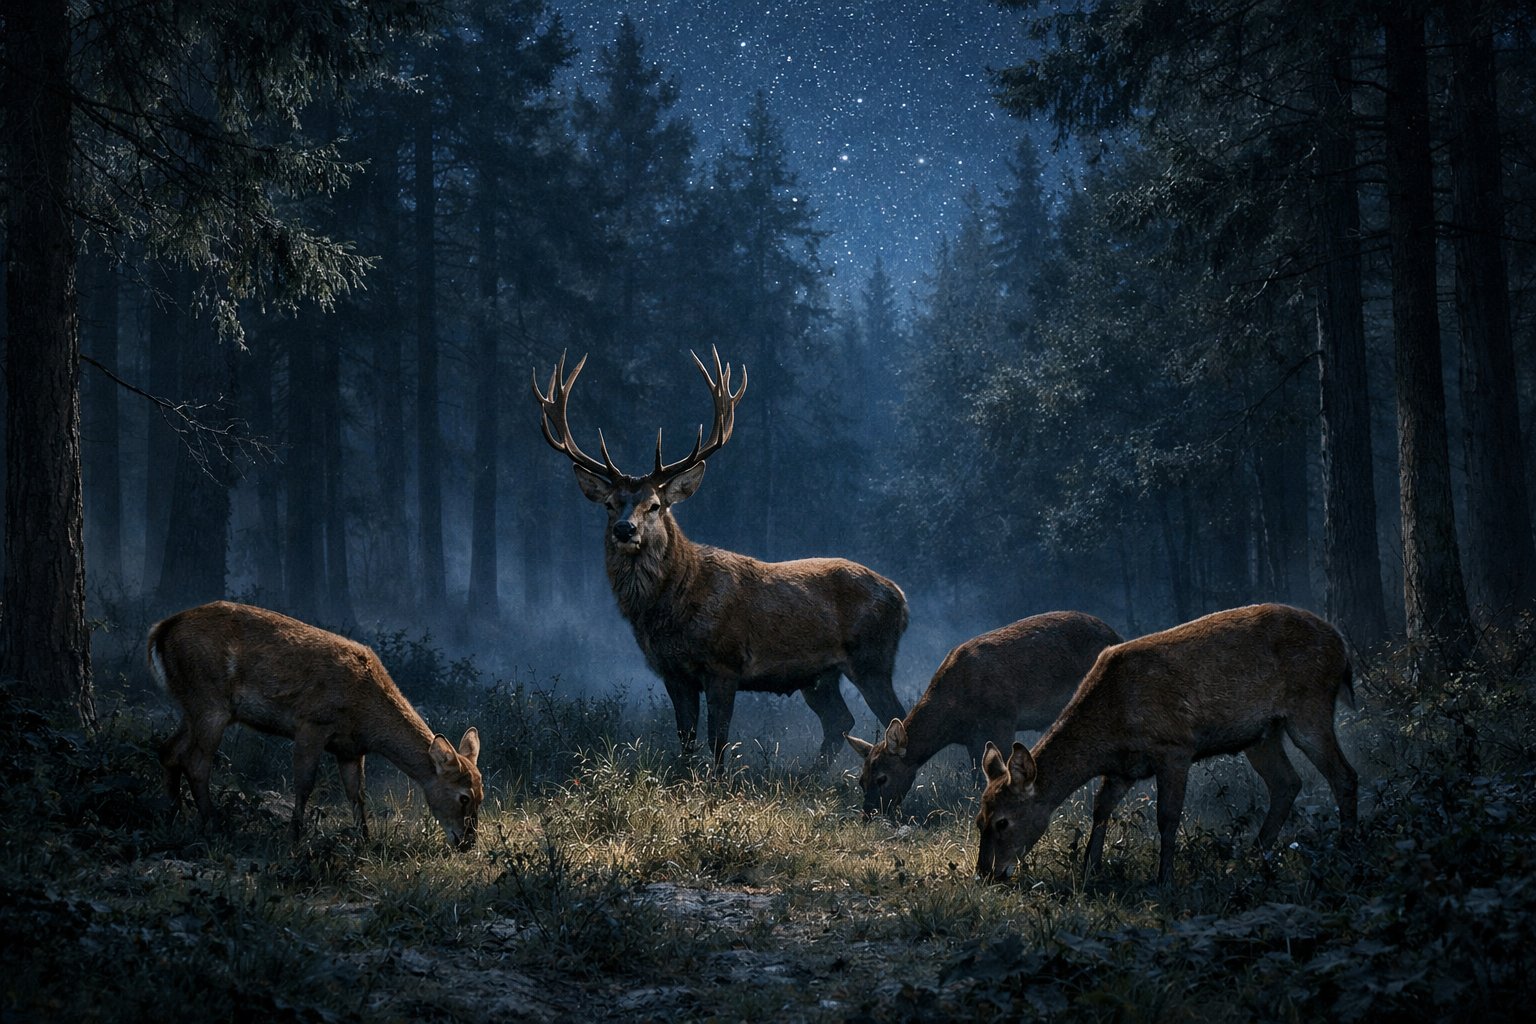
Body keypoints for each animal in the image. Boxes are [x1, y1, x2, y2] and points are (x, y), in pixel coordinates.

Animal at [149, 600, 484, 850]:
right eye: (463, 797)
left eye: (482, 796)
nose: (467, 842)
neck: (364, 717)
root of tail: (159, 631)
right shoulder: (312, 722)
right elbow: (304, 783)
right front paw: (295, 837)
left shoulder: (350, 749)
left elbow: (357, 794)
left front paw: (366, 841)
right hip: (209, 700)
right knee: (196, 762)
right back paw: (215, 825)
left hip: (191, 704)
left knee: (169, 751)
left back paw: (172, 817)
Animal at [532, 349, 908, 766]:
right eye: (610, 504)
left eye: (655, 505)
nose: (624, 530)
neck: (672, 606)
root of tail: (901, 597)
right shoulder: (673, 673)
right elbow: (685, 740)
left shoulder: (724, 664)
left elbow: (718, 740)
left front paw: (716, 780)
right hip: (820, 675)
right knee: (839, 721)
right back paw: (809, 774)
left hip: (872, 657)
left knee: (896, 716)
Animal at [846, 611, 1121, 815]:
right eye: (861, 780)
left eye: (882, 778)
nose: (870, 812)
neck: (956, 711)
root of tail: (1116, 634)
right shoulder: (972, 738)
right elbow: (976, 776)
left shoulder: (1003, 719)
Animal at [974, 603, 1358, 885]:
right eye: (979, 820)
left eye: (1003, 822)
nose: (986, 874)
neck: (1110, 726)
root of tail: (1341, 645)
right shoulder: (1123, 768)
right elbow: (1100, 809)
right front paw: (1090, 871)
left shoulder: (1173, 746)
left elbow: (1168, 817)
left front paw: (1164, 880)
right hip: (1262, 734)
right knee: (1287, 782)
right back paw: (1252, 857)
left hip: (1309, 706)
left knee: (1344, 774)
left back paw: (1347, 848)